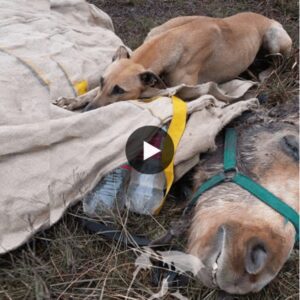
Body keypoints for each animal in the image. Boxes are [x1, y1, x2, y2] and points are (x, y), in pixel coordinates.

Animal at [55, 11, 292, 110]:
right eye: (103, 82)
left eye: (119, 91)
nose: (88, 111)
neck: (172, 40)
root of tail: (266, 17)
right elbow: (91, 92)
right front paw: (72, 100)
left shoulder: (186, 87)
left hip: (274, 38)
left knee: (280, 62)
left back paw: (264, 73)